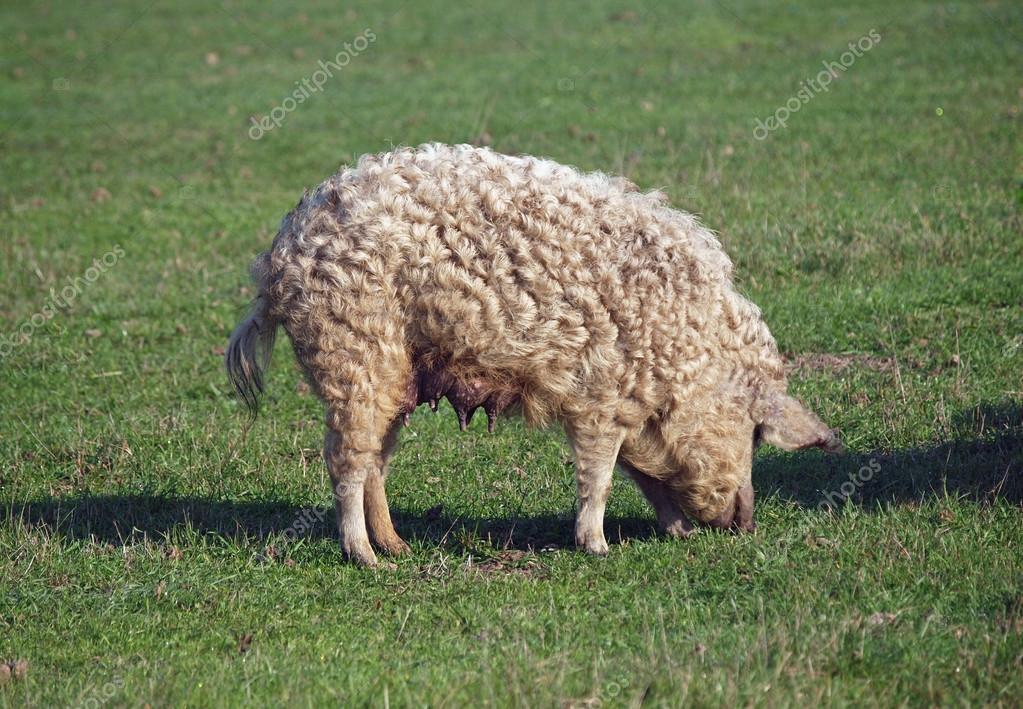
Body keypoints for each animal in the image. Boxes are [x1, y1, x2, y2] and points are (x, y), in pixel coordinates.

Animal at [226, 143, 841, 566]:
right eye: (757, 435)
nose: (747, 523)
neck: (687, 356)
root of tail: (277, 260)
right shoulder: (599, 399)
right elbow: (599, 477)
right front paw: (598, 548)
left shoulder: (628, 411)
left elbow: (642, 477)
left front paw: (675, 531)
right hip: (352, 354)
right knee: (345, 459)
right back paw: (368, 558)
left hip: (396, 373)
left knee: (377, 457)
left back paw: (398, 546)